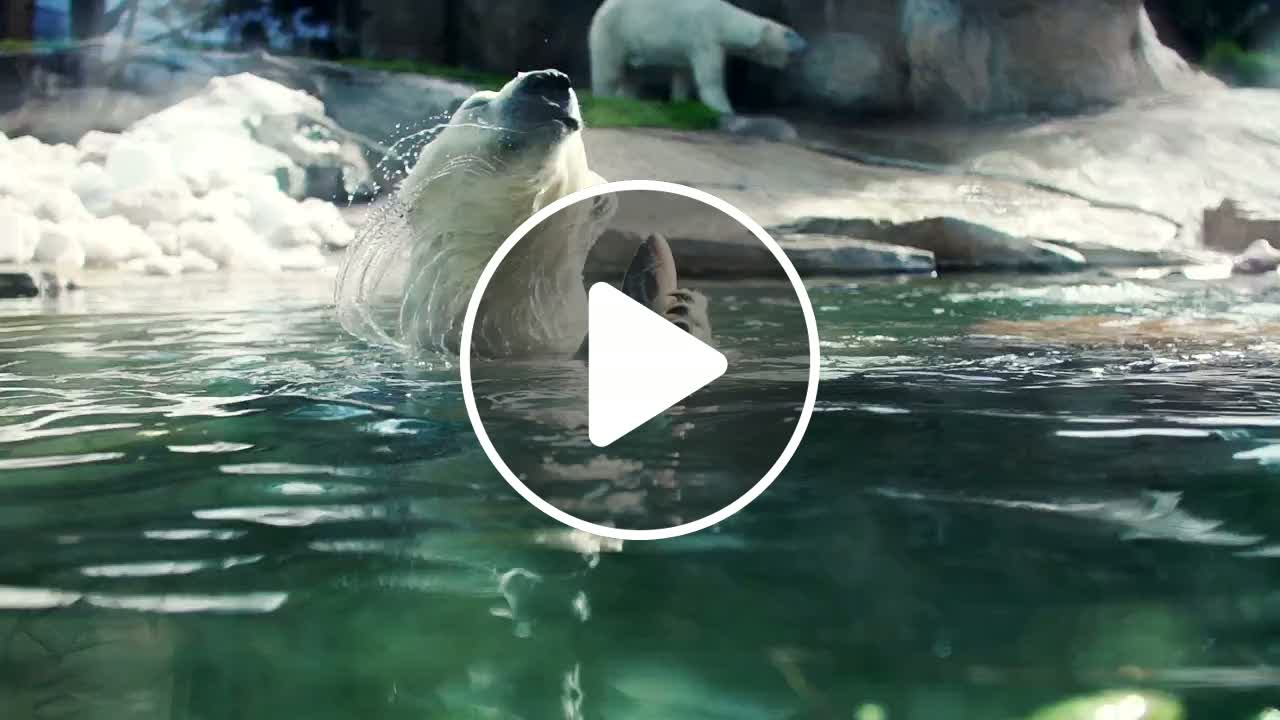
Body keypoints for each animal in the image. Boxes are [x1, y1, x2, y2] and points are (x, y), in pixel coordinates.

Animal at [588, 0, 807, 118]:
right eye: (789, 34)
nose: (805, 45)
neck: (722, 19)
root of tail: (602, 8)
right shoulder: (705, 37)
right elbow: (709, 79)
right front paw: (725, 110)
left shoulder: (689, 45)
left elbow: (683, 74)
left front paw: (680, 102)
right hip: (614, 31)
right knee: (609, 70)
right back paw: (604, 99)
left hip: (632, 40)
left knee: (633, 73)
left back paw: (628, 102)